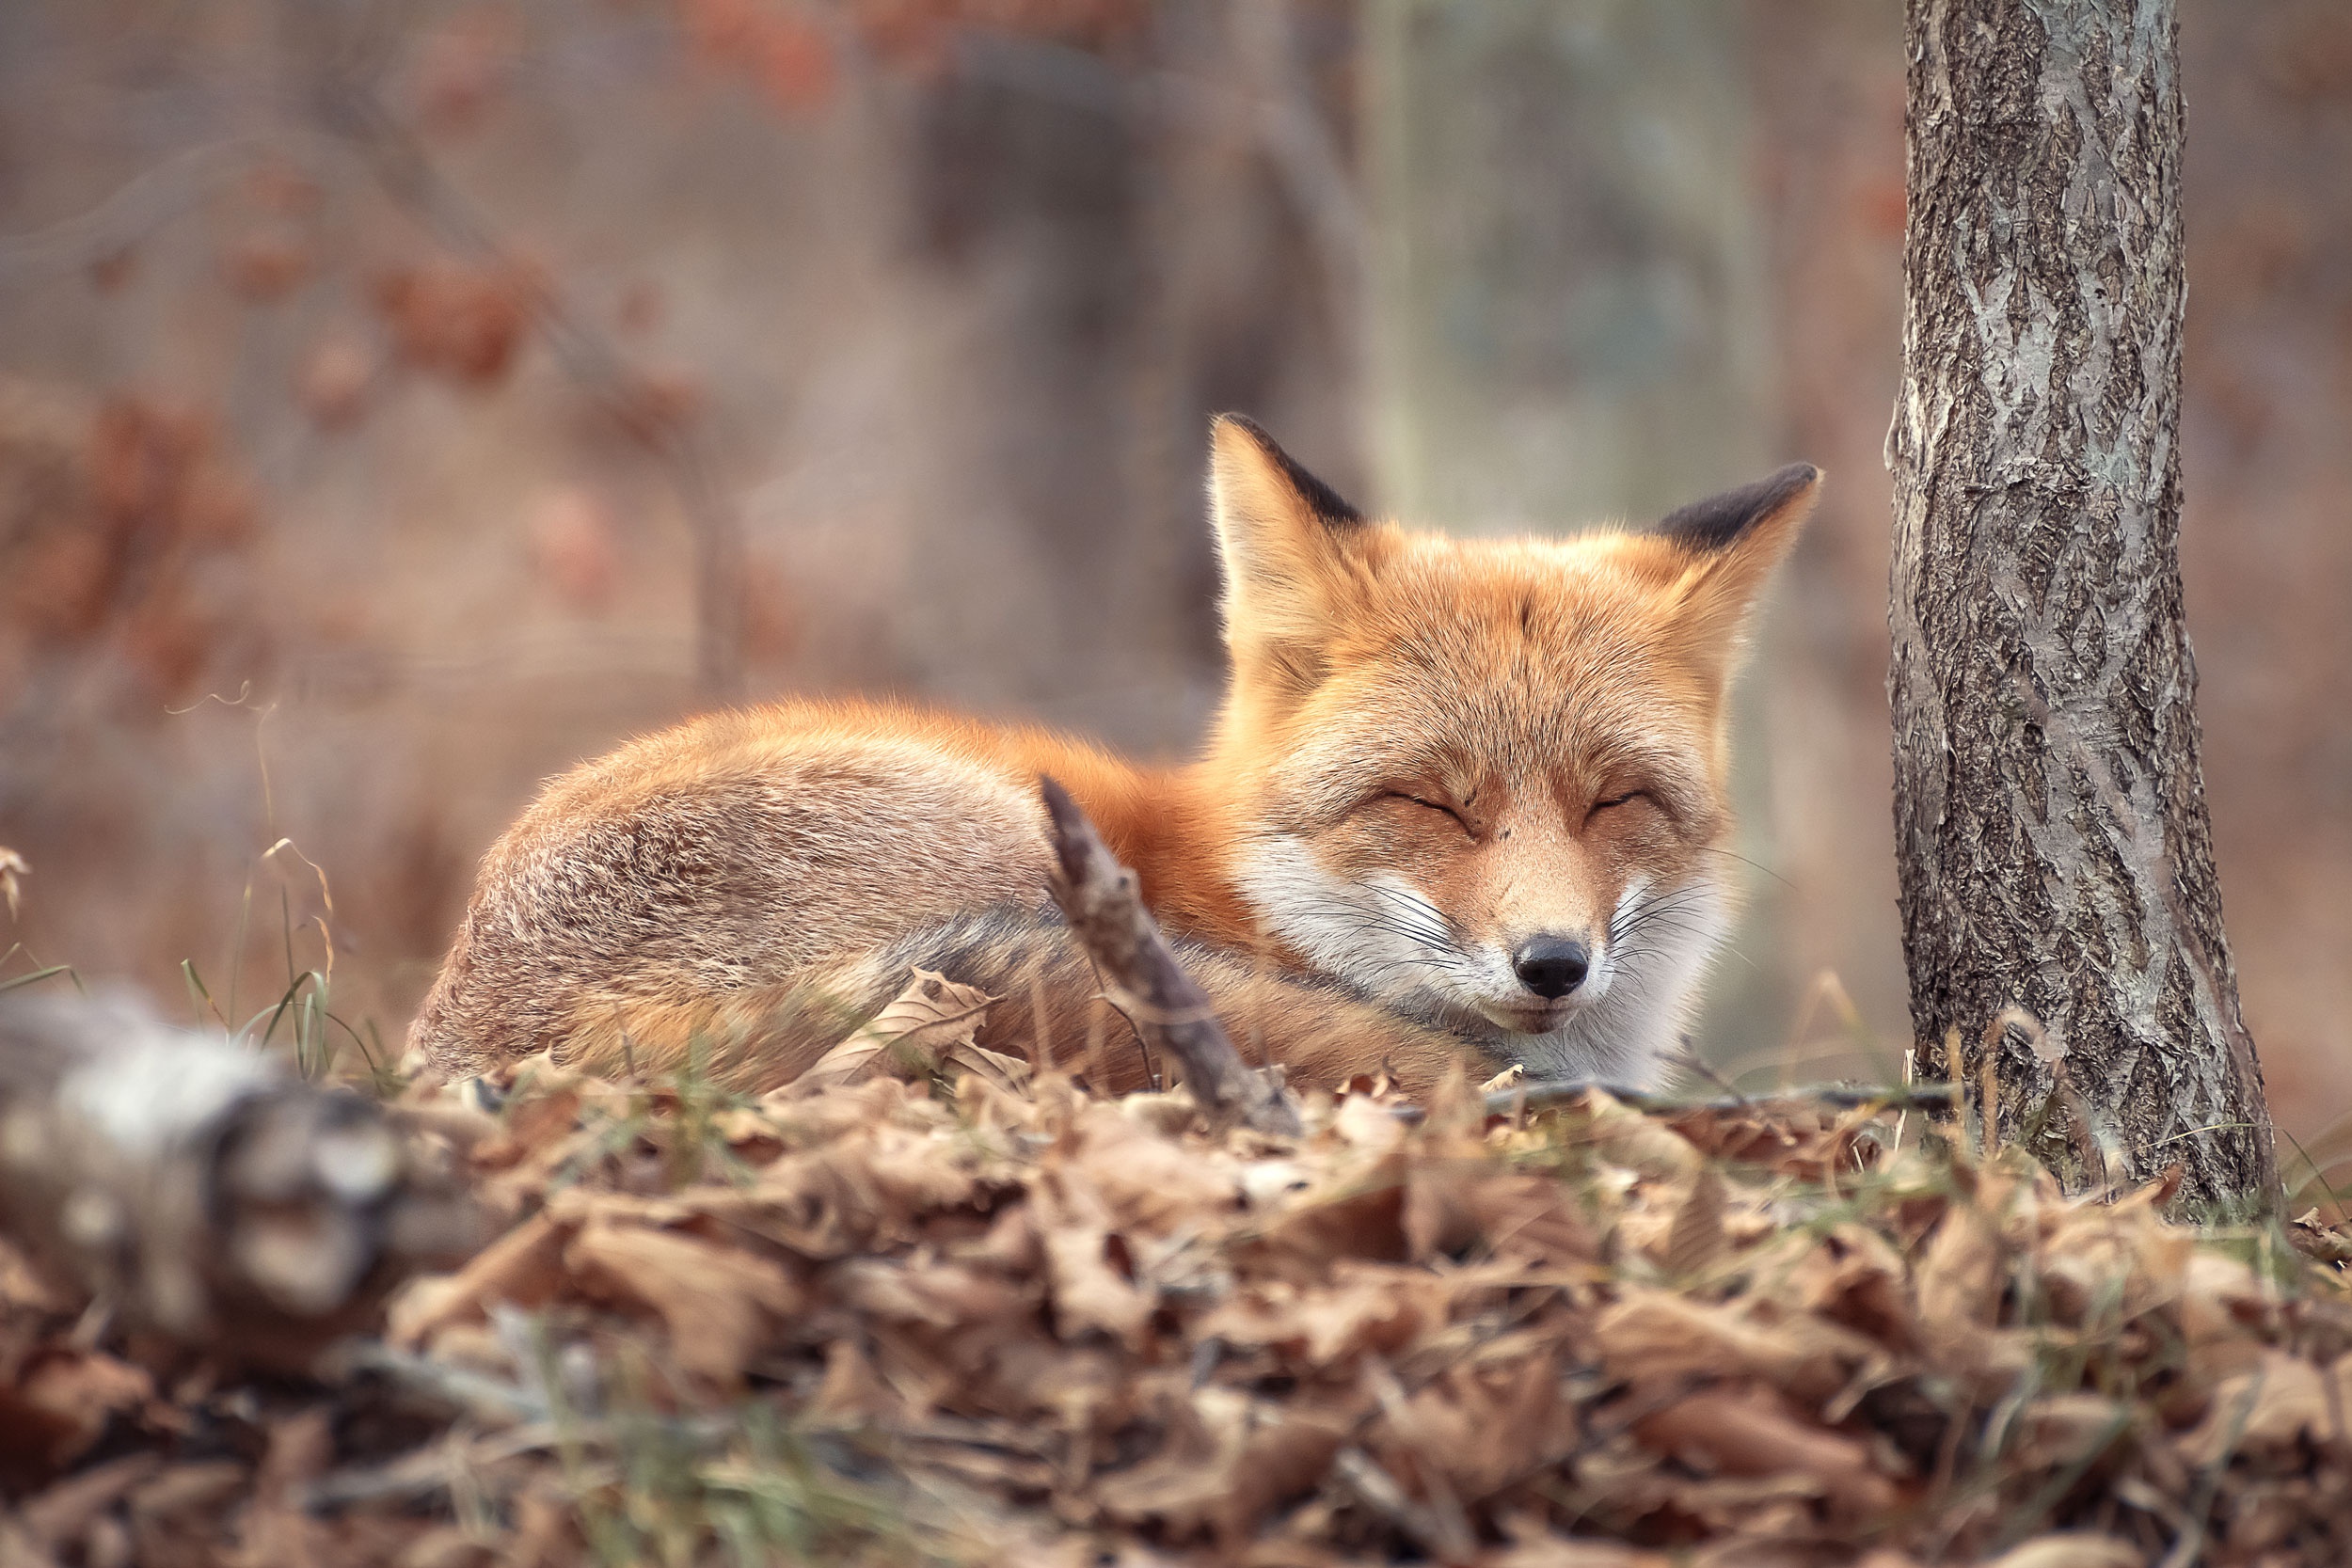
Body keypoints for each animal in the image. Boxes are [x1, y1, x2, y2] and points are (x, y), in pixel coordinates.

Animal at [410, 416, 1818, 1098]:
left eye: (1614, 798)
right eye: (1428, 802)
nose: (1551, 962)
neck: (1250, 905)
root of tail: (476, 1031)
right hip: (999, 836)